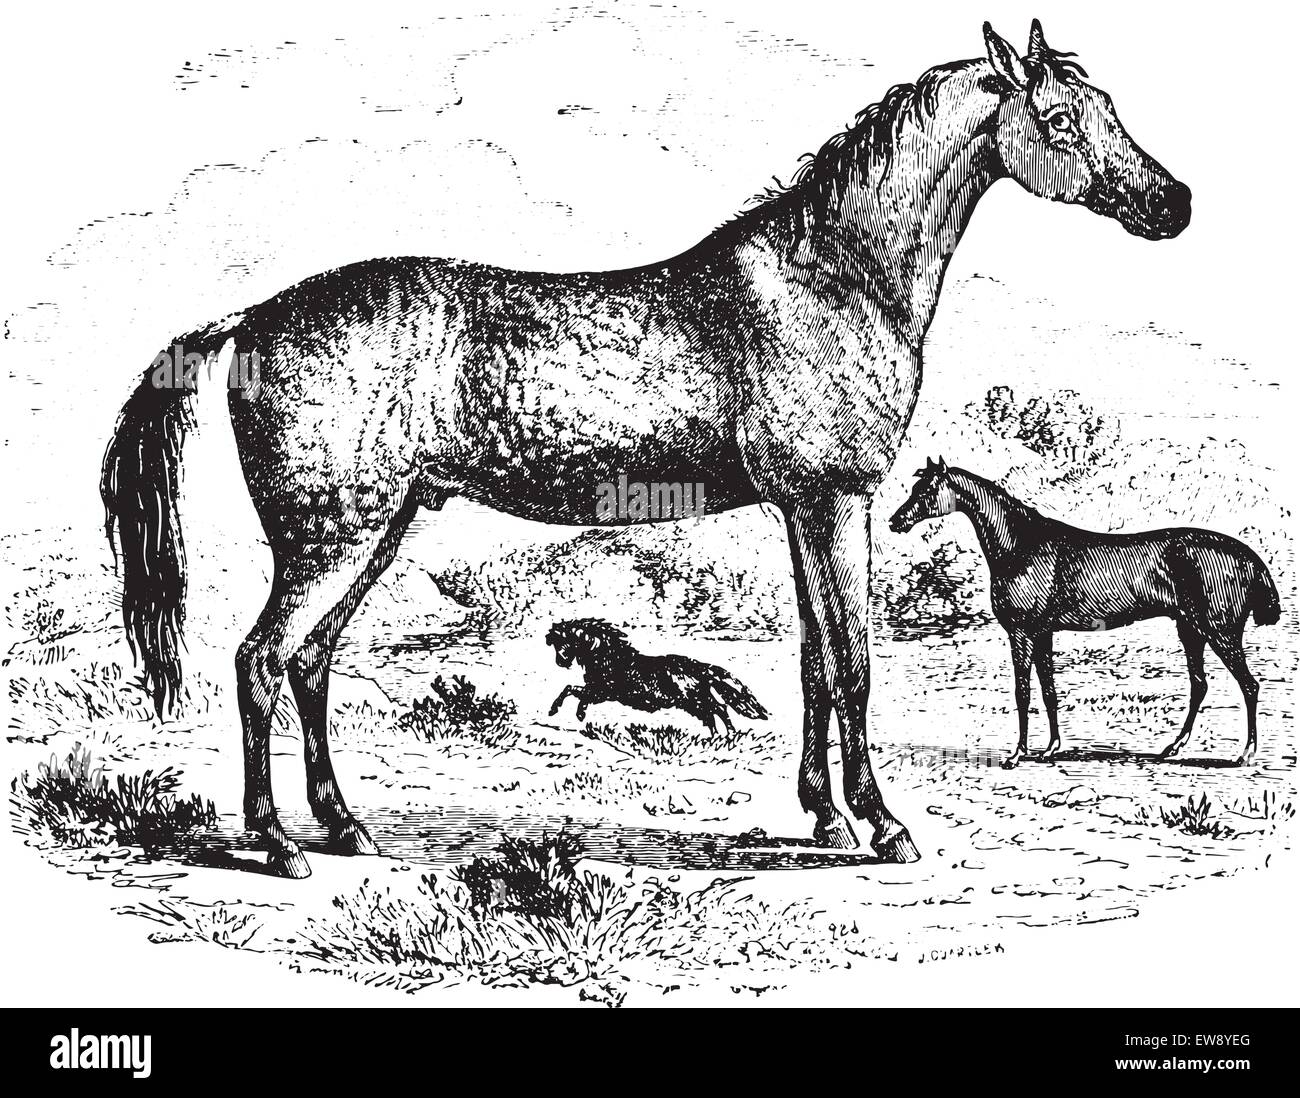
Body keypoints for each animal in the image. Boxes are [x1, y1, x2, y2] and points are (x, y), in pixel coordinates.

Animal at [545, 618, 769, 732]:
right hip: (695, 702)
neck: (608, 658)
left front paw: (559, 711)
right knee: (712, 715)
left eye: (562, 642)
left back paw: (728, 735)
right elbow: (575, 692)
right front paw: (577, 713)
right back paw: (717, 738)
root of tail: (701, 668)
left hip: (695, 699)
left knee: (719, 709)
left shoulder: (603, 692)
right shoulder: (600, 693)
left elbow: (573, 691)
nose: (560, 662)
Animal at [889, 459, 1280, 768]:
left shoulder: (1021, 633)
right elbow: (1048, 689)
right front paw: (1050, 748)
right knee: (1200, 685)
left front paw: (1017, 754)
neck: (1021, 545)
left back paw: (1245, 755)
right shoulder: (1042, 633)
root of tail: (1251, 560)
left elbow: (1022, 691)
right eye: (914, 486)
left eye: (927, 490)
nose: (895, 522)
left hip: (1220, 632)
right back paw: (1171, 748)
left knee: (1249, 685)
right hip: (1191, 630)